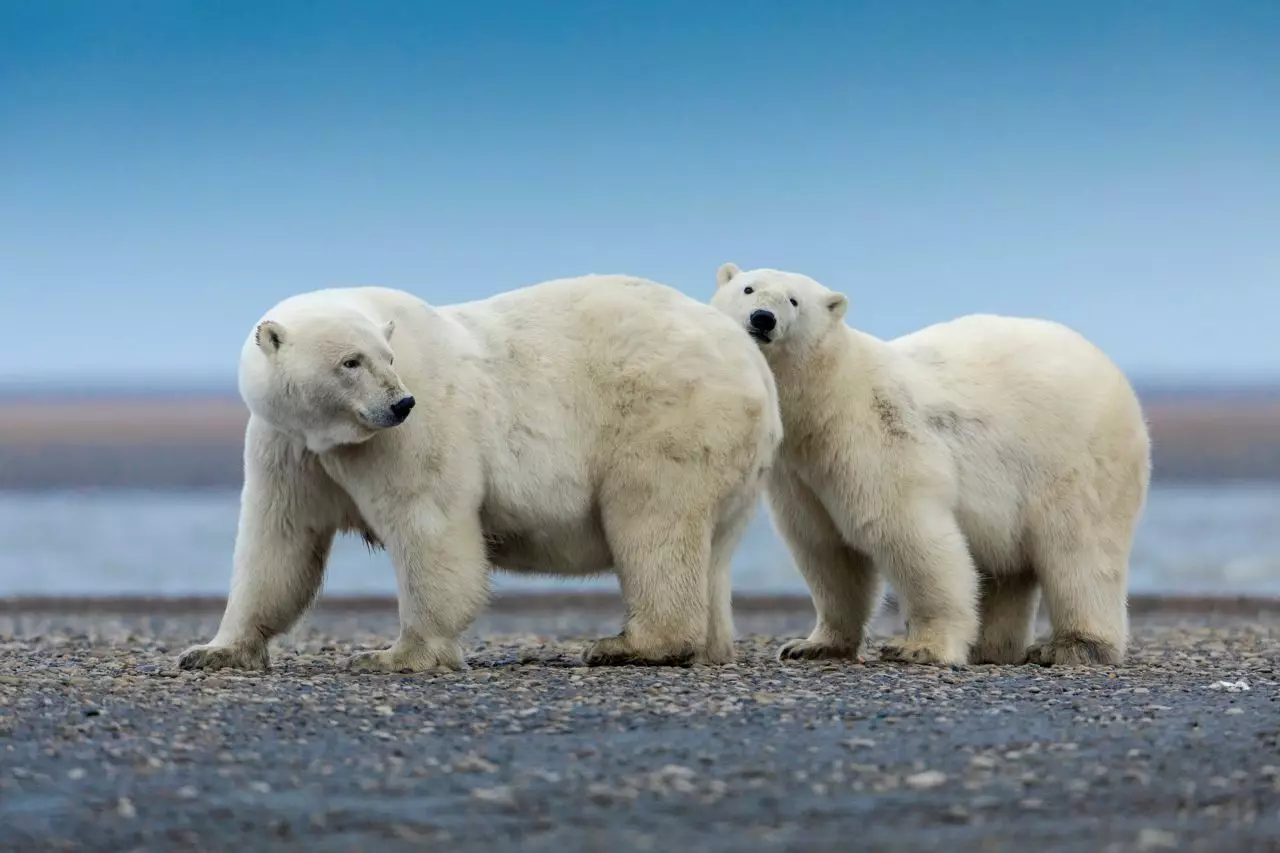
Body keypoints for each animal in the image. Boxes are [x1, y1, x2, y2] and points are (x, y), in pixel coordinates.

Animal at [177, 272, 778, 671]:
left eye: (387, 357)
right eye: (351, 361)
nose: (400, 404)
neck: (336, 435)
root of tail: (752, 366)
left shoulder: (409, 435)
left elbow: (428, 524)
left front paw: (396, 655)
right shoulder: (289, 444)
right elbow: (277, 539)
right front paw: (213, 651)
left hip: (666, 416)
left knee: (651, 518)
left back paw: (631, 645)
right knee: (712, 548)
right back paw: (708, 645)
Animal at [711, 261, 1152, 666]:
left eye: (793, 300)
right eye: (748, 288)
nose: (762, 319)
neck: (826, 402)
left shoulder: (879, 439)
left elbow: (909, 536)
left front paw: (919, 647)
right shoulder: (800, 474)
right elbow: (827, 552)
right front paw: (812, 645)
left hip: (1078, 461)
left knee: (1079, 551)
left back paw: (1073, 646)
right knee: (1006, 568)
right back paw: (992, 647)